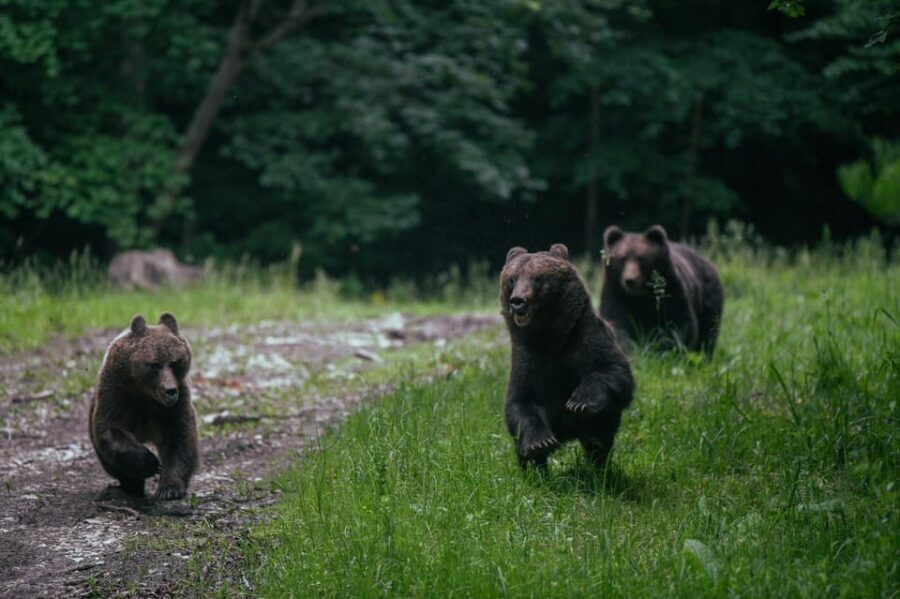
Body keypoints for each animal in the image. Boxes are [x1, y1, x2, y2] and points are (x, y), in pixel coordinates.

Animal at [89, 312, 200, 499]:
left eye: (175, 362)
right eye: (155, 364)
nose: (170, 391)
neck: (145, 392)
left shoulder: (173, 404)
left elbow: (180, 436)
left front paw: (169, 488)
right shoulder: (117, 390)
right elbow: (111, 427)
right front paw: (150, 463)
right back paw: (130, 487)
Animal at [500, 243, 635, 470]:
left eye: (538, 278)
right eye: (512, 278)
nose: (518, 301)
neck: (551, 337)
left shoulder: (585, 336)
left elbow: (613, 370)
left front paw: (579, 401)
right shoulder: (527, 356)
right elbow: (522, 402)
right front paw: (538, 444)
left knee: (600, 434)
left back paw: (598, 464)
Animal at [600, 224, 724, 354]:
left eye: (641, 258)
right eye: (623, 258)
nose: (630, 280)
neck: (641, 295)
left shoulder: (671, 288)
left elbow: (679, 323)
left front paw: (663, 348)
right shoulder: (616, 291)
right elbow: (616, 320)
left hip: (708, 295)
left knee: (708, 330)